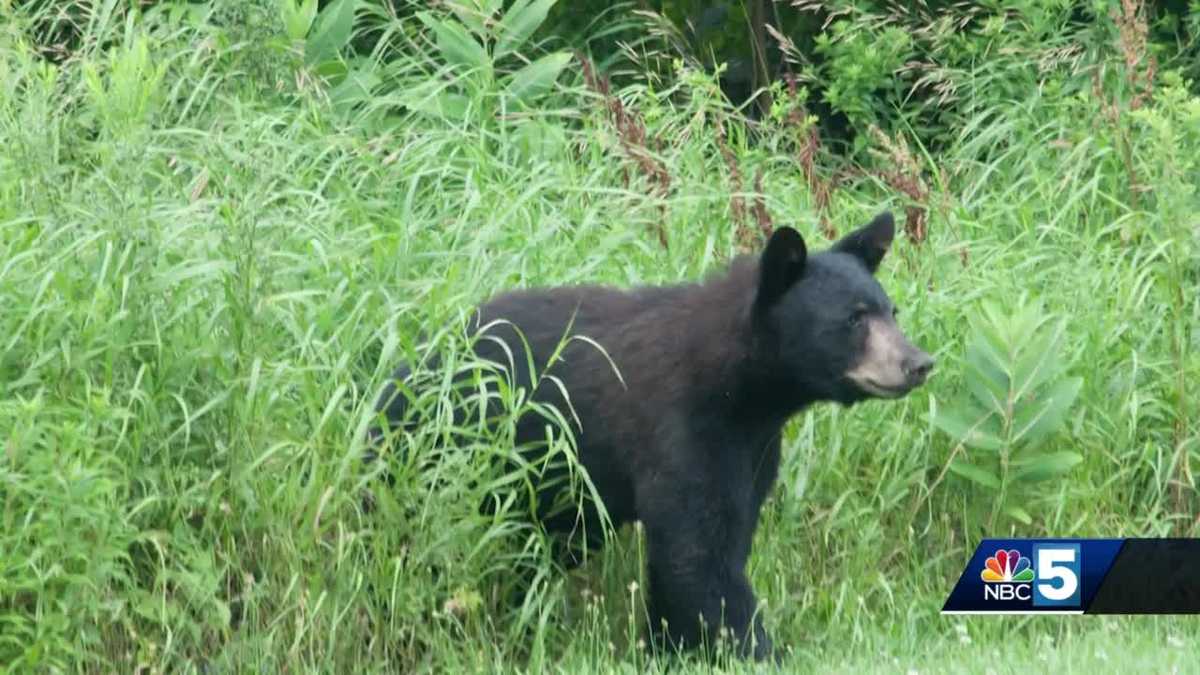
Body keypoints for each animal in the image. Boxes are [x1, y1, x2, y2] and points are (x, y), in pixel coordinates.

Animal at [367, 211, 933, 661]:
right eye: (854, 319)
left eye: (891, 311)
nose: (918, 362)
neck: (741, 389)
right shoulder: (682, 426)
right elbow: (698, 551)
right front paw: (755, 650)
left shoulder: (751, 449)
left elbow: (708, 543)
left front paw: (669, 647)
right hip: (438, 445)